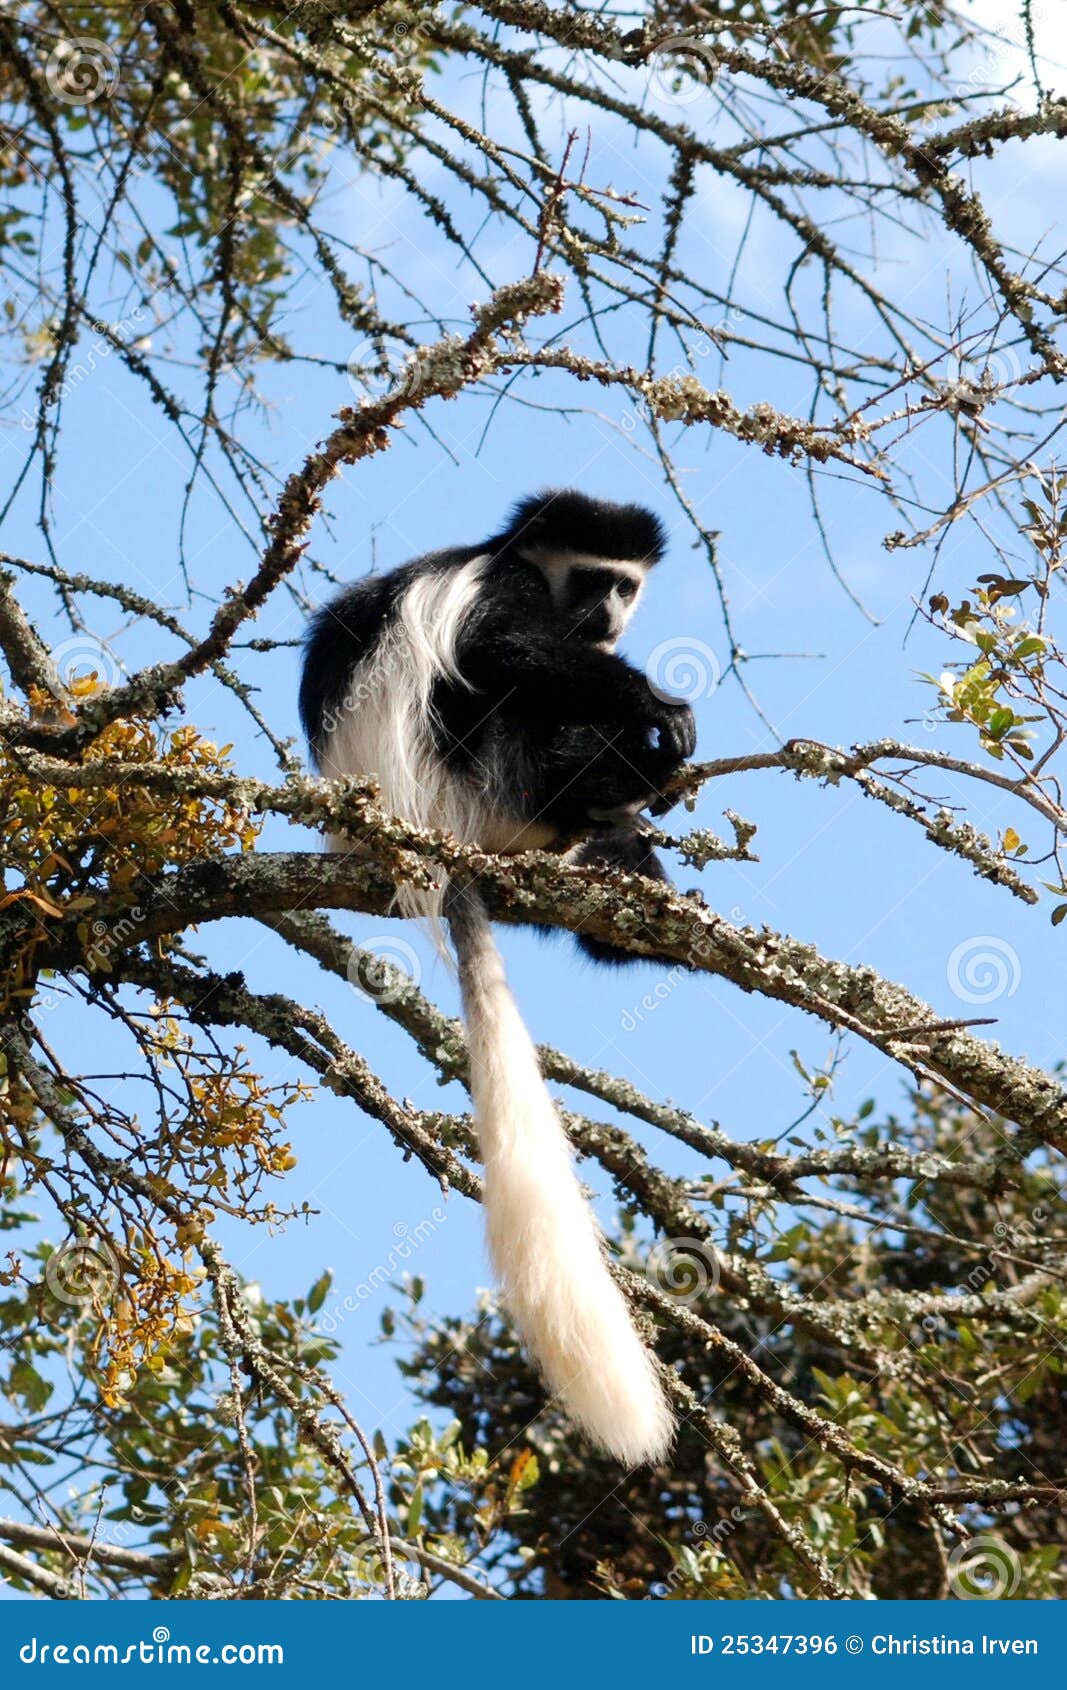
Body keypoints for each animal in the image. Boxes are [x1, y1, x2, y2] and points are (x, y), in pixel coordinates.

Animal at [299, 489, 696, 1465]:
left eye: (626, 584)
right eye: (591, 578)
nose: (609, 616)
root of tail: (430, 836)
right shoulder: (503, 590)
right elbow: (499, 650)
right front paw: (656, 701)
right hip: (491, 776)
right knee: (514, 690)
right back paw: (631, 768)